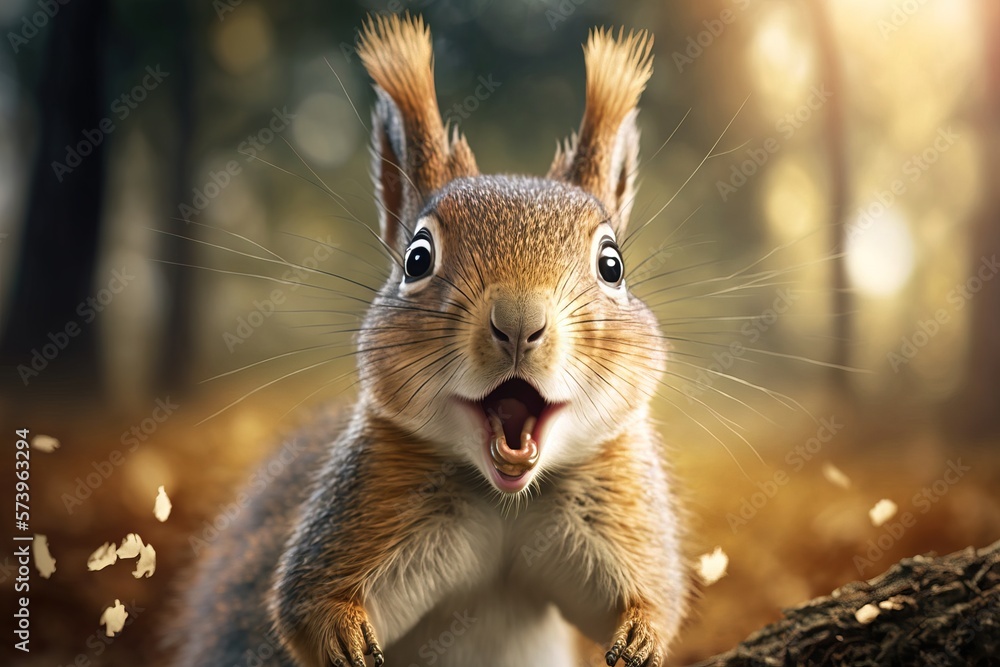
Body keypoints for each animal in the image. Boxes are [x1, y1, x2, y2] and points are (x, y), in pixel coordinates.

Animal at [170, 14, 688, 667]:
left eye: (612, 265)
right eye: (417, 258)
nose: (518, 322)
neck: (504, 497)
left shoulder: (618, 500)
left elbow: (654, 594)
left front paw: (642, 629)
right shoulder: (368, 497)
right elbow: (305, 603)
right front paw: (340, 630)